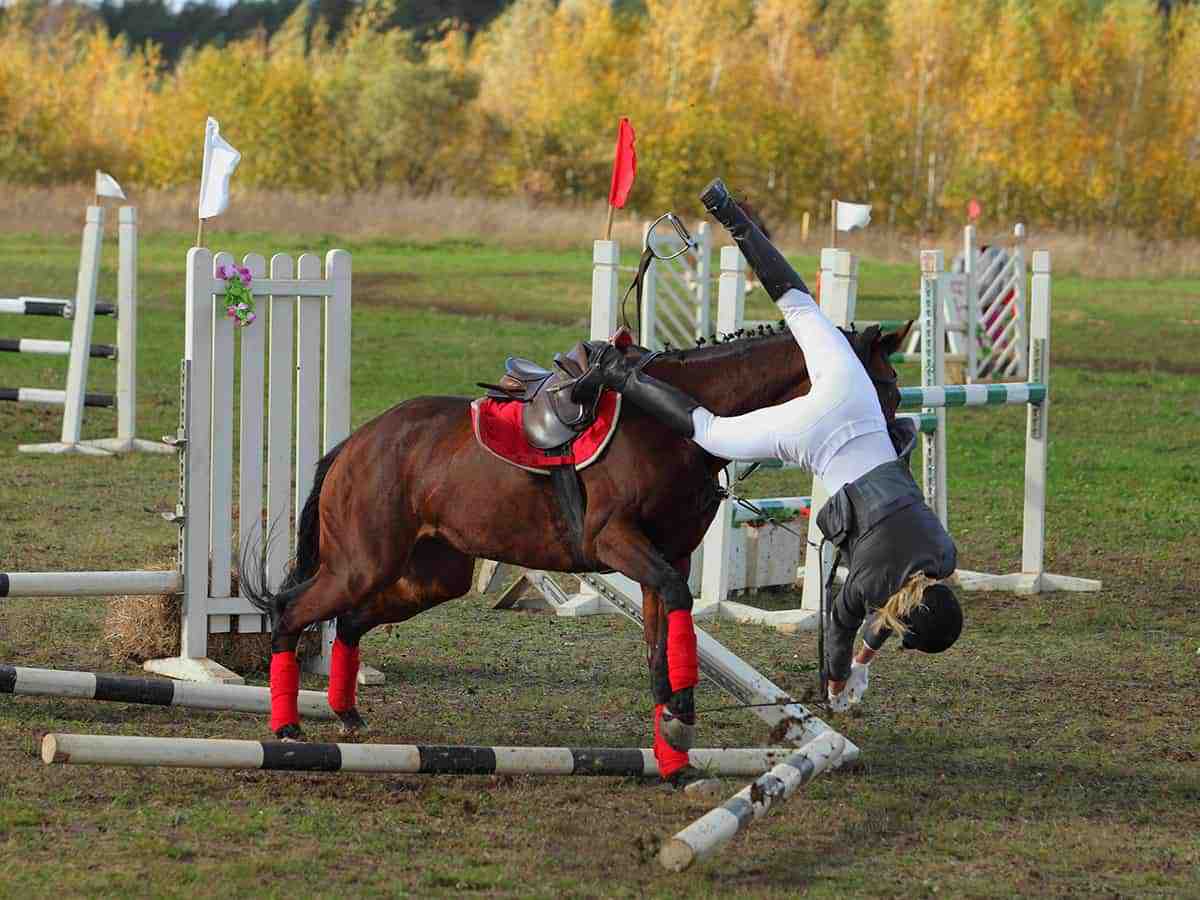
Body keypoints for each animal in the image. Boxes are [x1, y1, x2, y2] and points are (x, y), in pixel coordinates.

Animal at [242, 322, 912, 778]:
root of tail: (355, 443)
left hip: (431, 575)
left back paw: (346, 712)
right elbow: (674, 610)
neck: (680, 423)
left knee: (352, 621)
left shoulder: (665, 559)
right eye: (882, 388)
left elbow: (662, 640)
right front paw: (680, 718)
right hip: (363, 564)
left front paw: (671, 744)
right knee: (292, 611)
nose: (899, 446)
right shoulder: (616, 543)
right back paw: (287, 725)